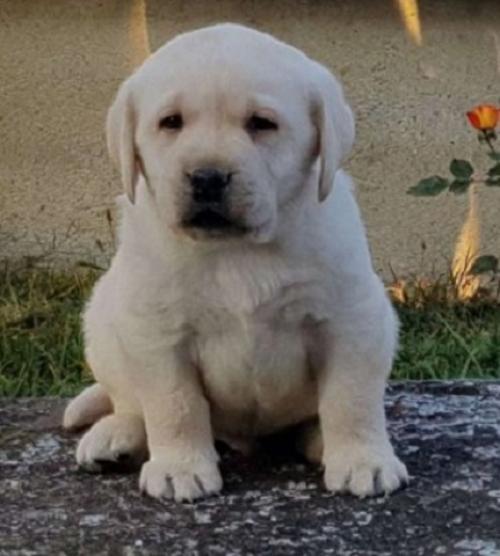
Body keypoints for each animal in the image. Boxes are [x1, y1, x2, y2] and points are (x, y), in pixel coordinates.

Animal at [62, 23, 408, 502]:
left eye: (261, 124)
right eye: (171, 122)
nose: (207, 178)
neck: (235, 250)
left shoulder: (351, 318)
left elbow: (350, 398)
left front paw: (362, 460)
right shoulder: (159, 330)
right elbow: (174, 403)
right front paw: (180, 467)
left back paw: (320, 440)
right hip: (105, 317)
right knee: (131, 401)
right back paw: (116, 437)